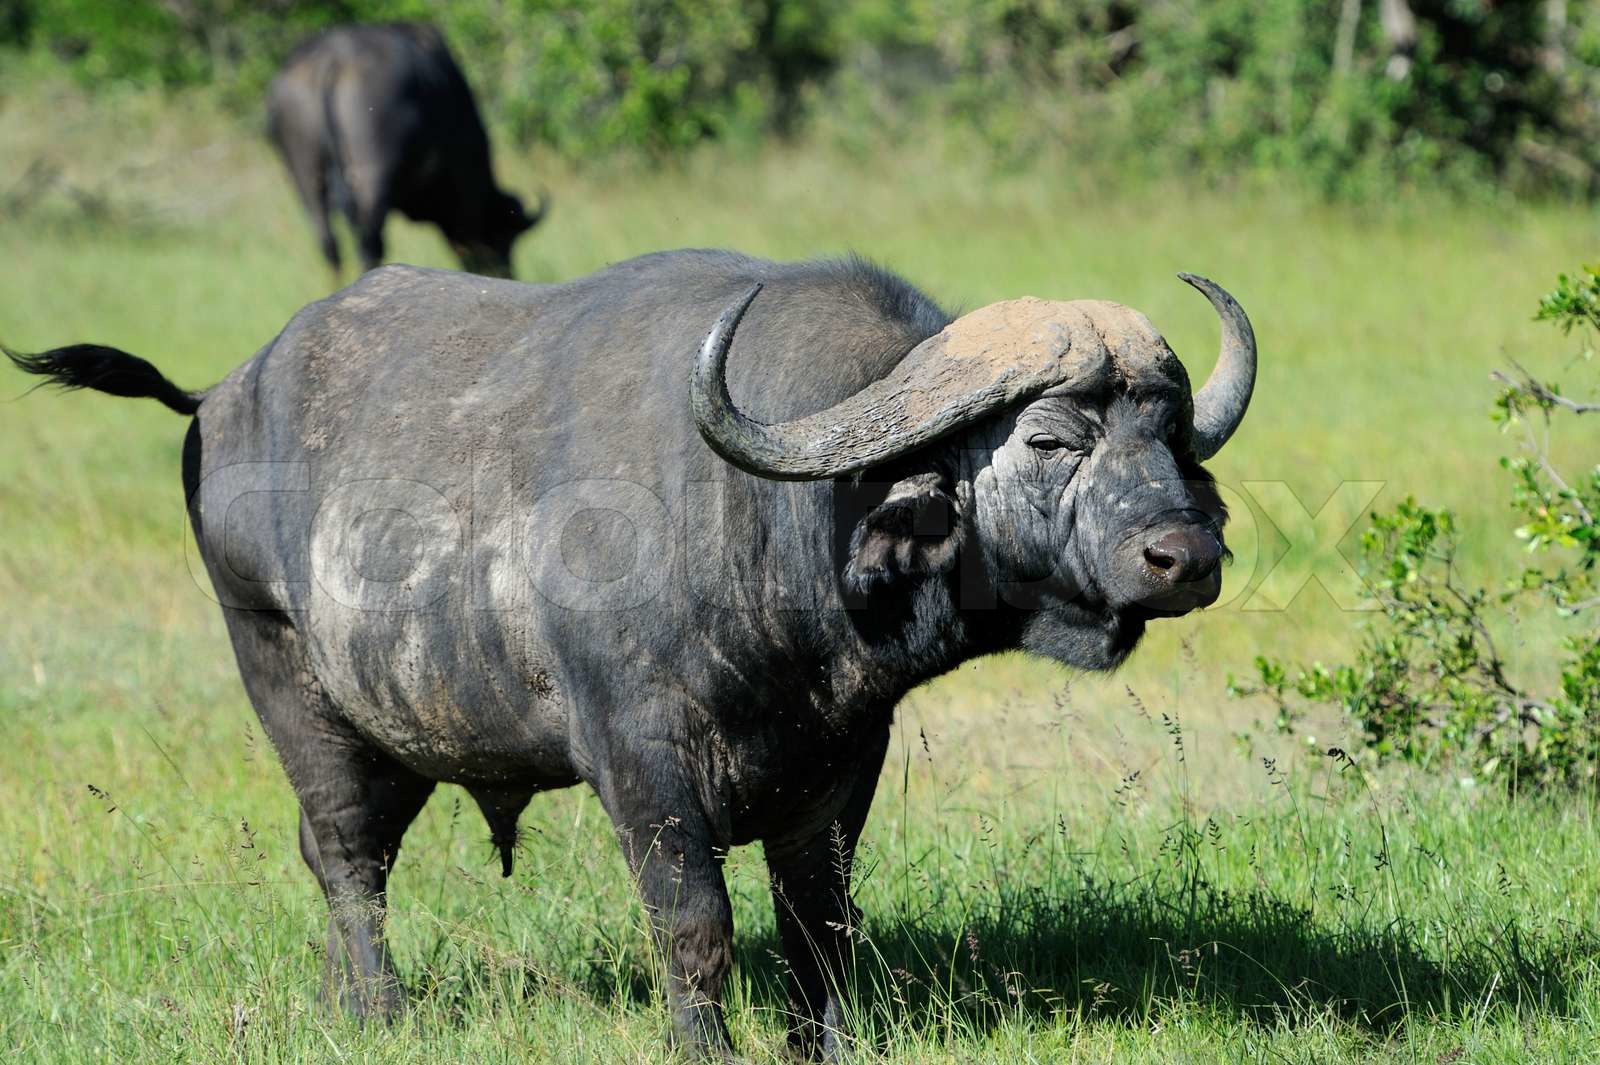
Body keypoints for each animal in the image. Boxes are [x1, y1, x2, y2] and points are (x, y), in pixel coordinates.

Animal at [7, 249, 1255, 1059]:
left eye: (1169, 439)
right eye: (1047, 440)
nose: (1182, 555)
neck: (774, 531)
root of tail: (221, 396)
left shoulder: (840, 767)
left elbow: (819, 926)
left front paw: (823, 1043)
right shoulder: (640, 760)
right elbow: (694, 922)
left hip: (401, 730)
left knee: (333, 859)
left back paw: (338, 1003)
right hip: (289, 687)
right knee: (350, 857)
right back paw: (383, 1012)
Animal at [267, 22, 546, 278]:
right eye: (504, 235)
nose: (505, 271)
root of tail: (332, 59)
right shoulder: (466, 180)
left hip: (305, 178)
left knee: (328, 242)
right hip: (373, 176)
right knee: (368, 241)